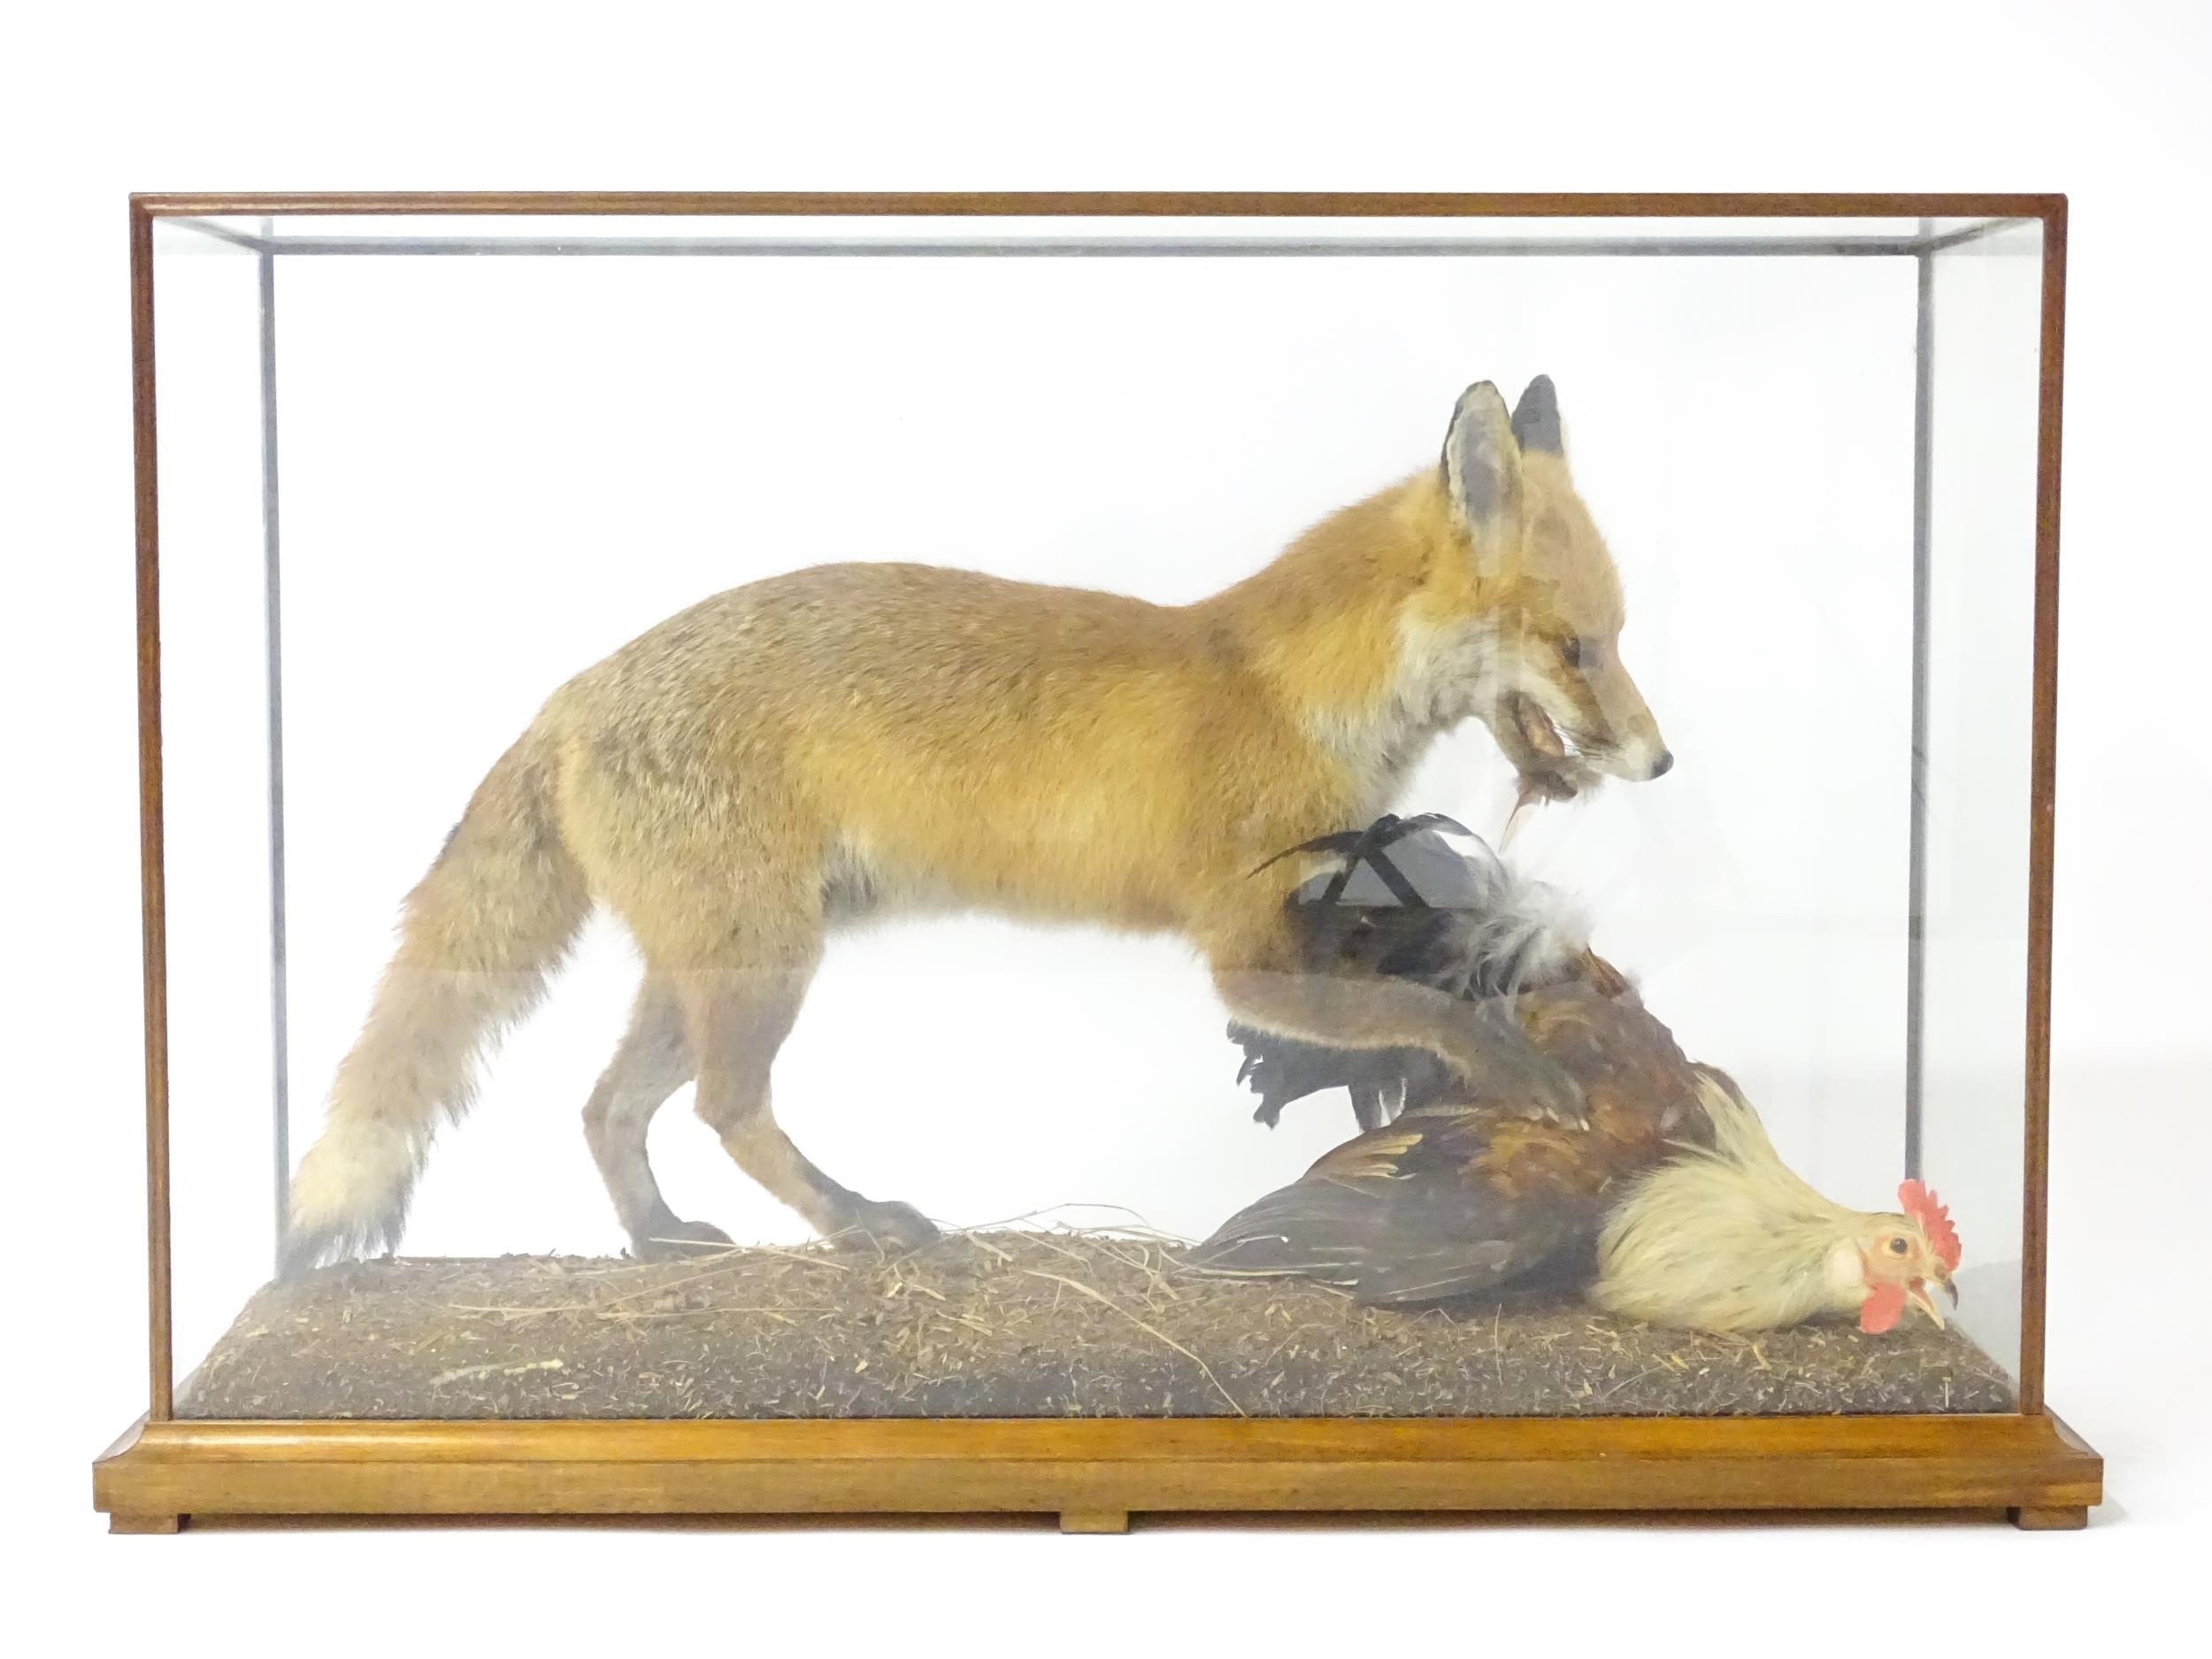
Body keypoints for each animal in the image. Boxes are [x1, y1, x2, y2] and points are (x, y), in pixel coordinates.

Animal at [282, 374, 1671, 1274]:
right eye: (1578, 648)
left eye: (1618, 638)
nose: (1660, 761)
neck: (1290, 691)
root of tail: (573, 687)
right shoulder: (1240, 955)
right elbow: (1426, 1013)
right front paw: (1523, 1071)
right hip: (763, 966)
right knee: (725, 1109)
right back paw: (856, 1224)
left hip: (702, 971)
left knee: (604, 1107)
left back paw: (658, 1240)